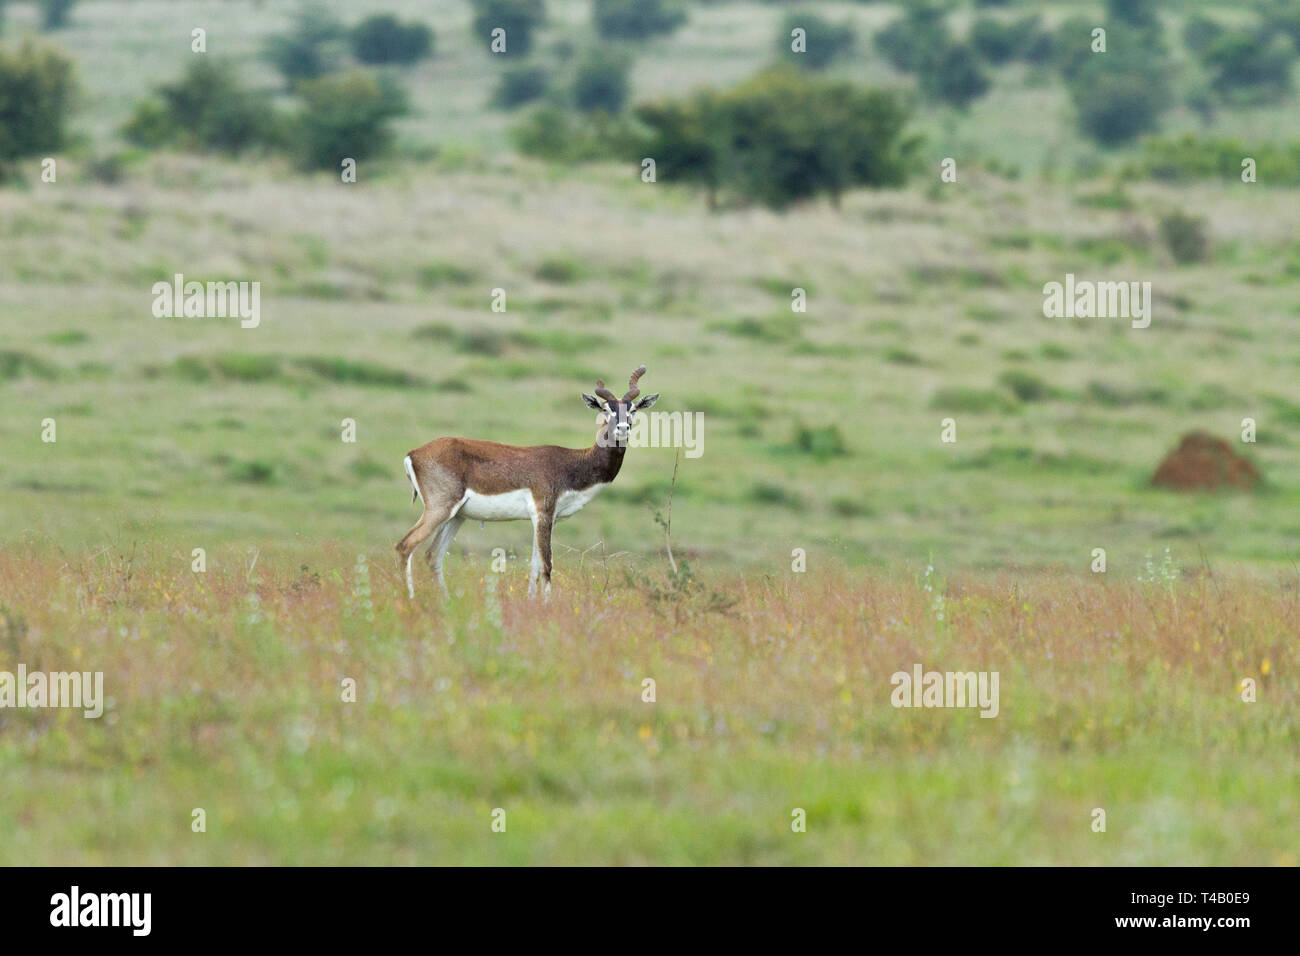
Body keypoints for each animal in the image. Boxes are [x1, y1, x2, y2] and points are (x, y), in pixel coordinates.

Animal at [397, 365, 659, 599]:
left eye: (633, 409)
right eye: (606, 410)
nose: (623, 428)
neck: (571, 463)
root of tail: (414, 453)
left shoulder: (543, 518)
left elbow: (534, 566)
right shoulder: (543, 513)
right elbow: (547, 565)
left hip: (457, 516)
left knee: (433, 556)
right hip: (439, 509)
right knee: (404, 546)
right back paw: (408, 600)